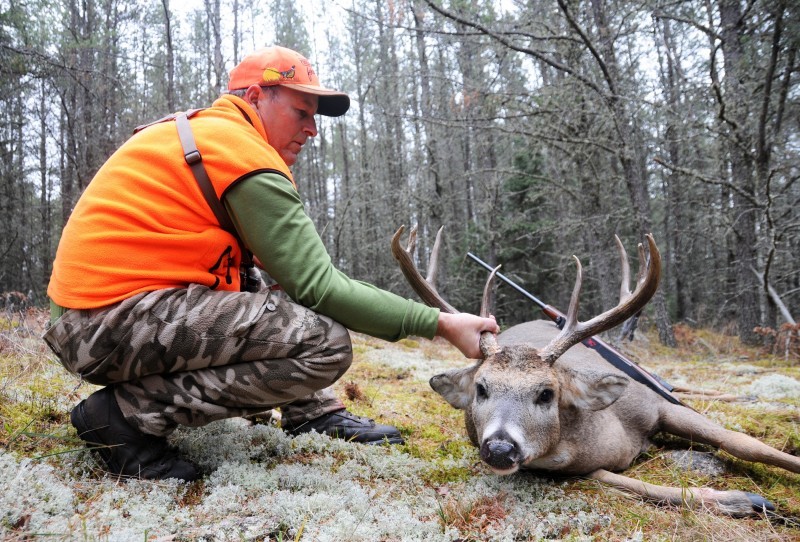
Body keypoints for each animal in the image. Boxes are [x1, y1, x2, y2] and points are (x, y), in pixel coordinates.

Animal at [391, 225, 800, 517]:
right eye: (481, 388)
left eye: (547, 393)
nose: (500, 447)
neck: (612, 433)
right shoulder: (584, 469)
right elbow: (639, 487)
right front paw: (746, 500)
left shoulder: (653, 404)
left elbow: (745, 443)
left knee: (680, 387)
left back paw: (747, 394)